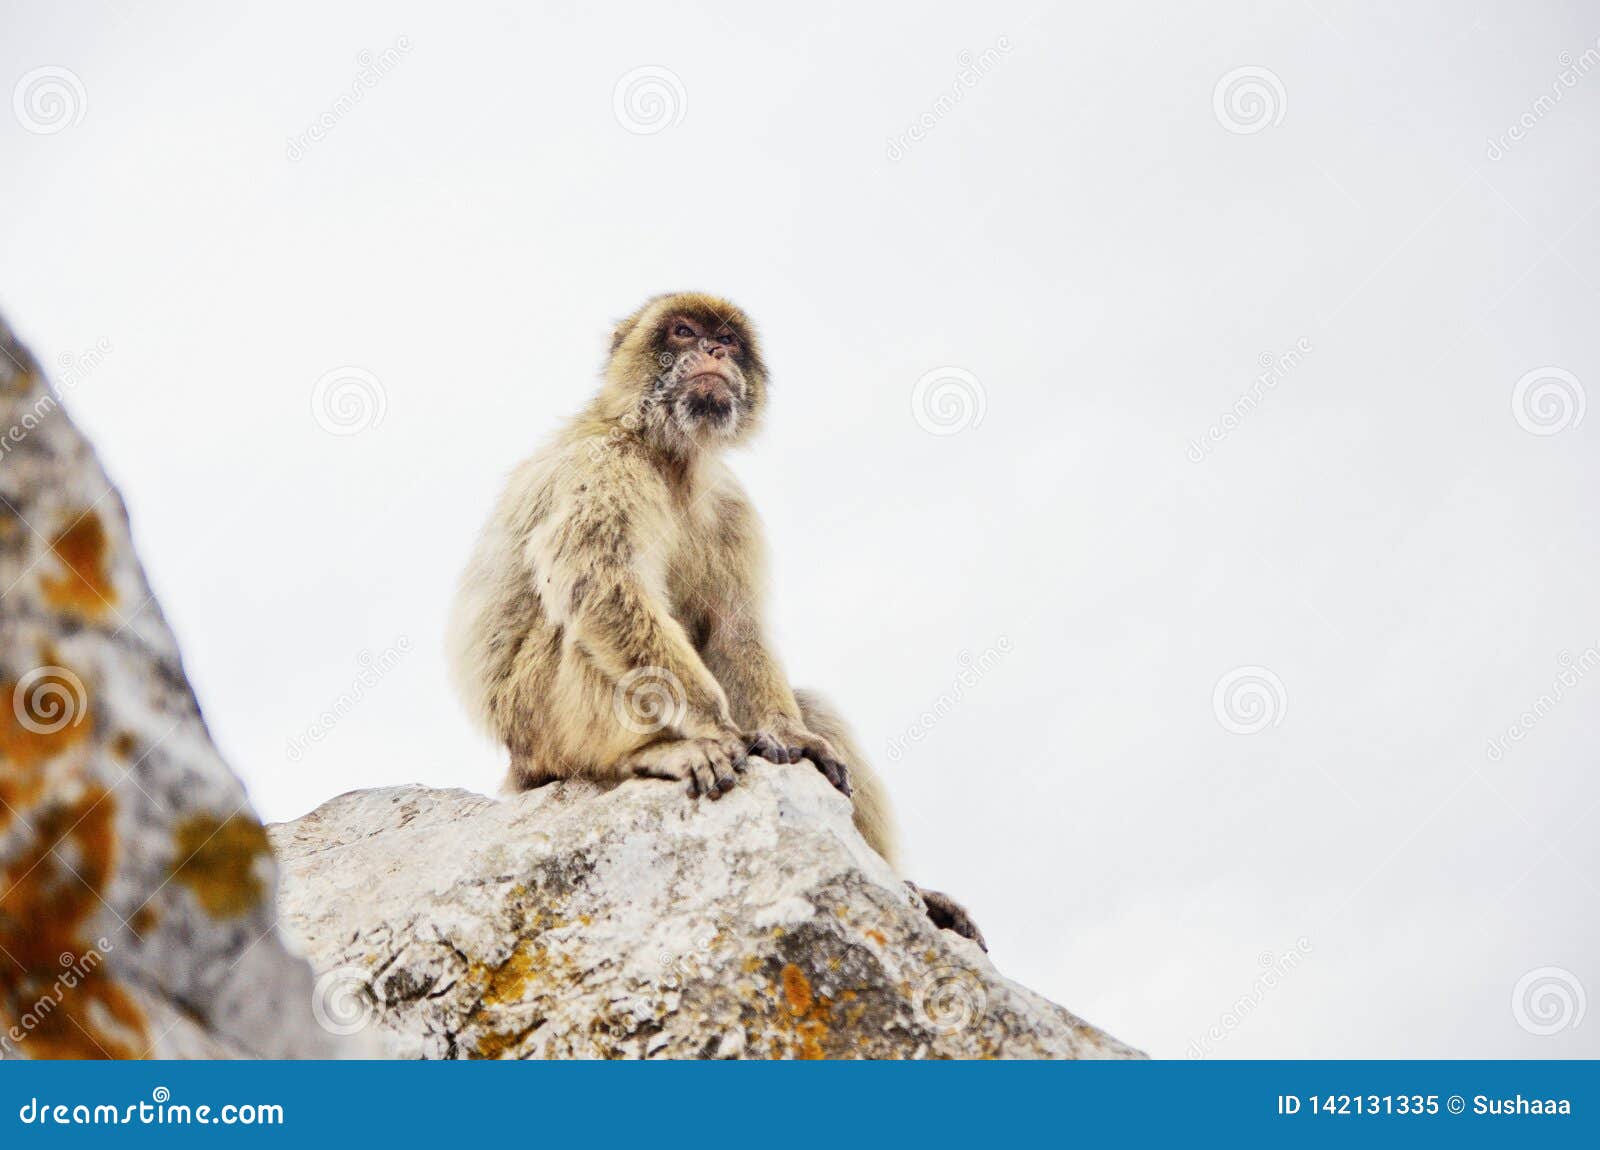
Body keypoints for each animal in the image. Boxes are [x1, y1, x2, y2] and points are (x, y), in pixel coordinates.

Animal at [446, 292, 983, 947]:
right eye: (683, 331)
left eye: (726, 340)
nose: (710, 351)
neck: (668, 455)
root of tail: (518, 765)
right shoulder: (602, 465)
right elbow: (601, 587)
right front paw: (710, 728)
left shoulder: (729, 503)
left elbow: (735, 628)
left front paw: (788, 732)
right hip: (537, 722)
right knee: (582, 623)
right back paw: (650, 755)